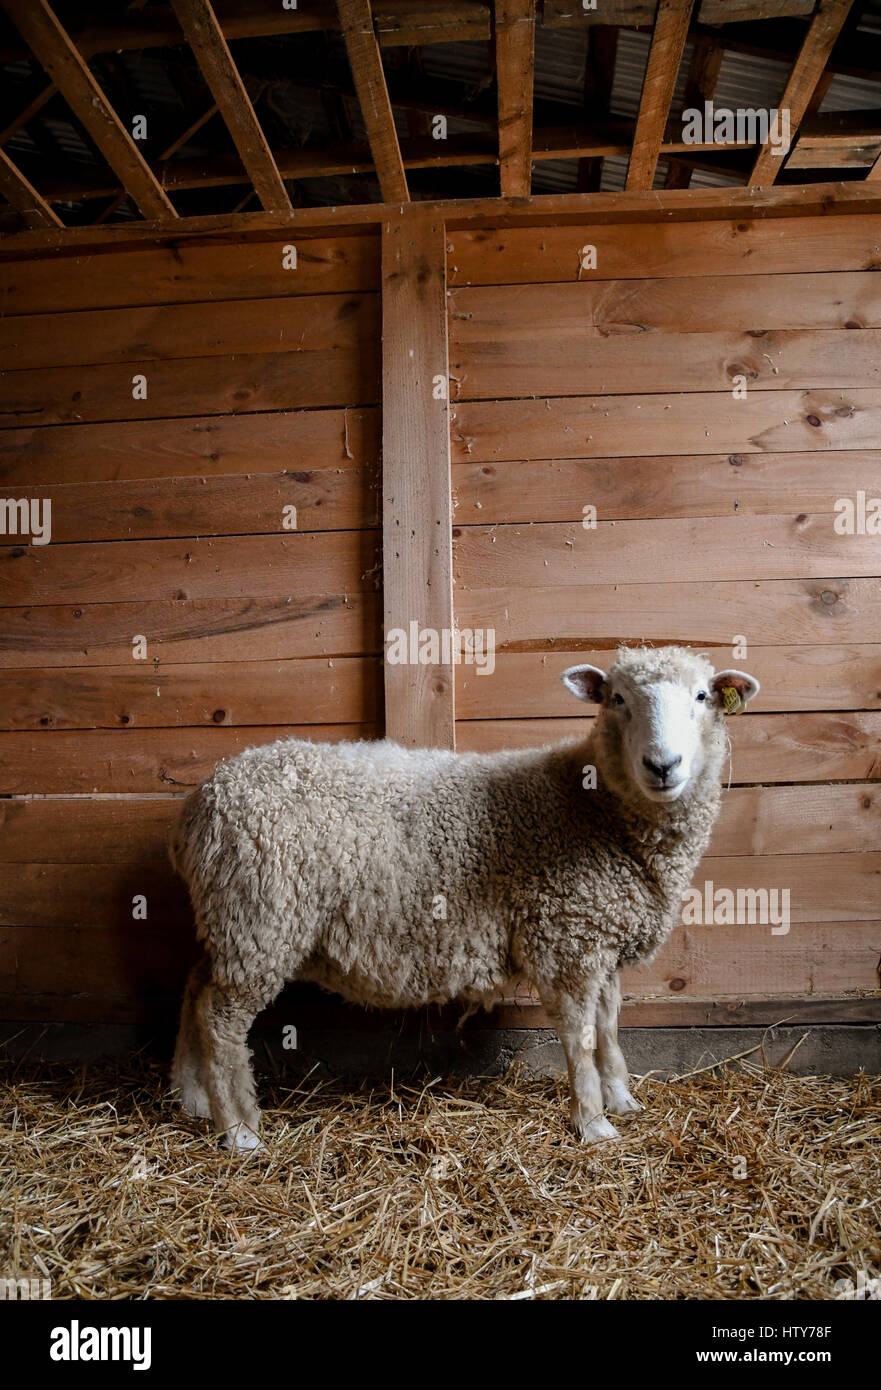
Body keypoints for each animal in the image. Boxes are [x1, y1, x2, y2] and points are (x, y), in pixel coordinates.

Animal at [169, 644, 759, 1152]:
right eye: (617, 699)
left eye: (702, 696)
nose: (663, 765)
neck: (593, 807)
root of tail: (202, 803)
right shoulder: (565, 937)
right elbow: (580, 1035)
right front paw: (593, 1123)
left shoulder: (601, 937)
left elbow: (610, 1027)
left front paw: (622, 1099)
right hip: (260, 920)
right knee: (221, 1020)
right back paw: (239, 1131)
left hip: (230, 921)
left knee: (195, 989)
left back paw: (192, 1098)